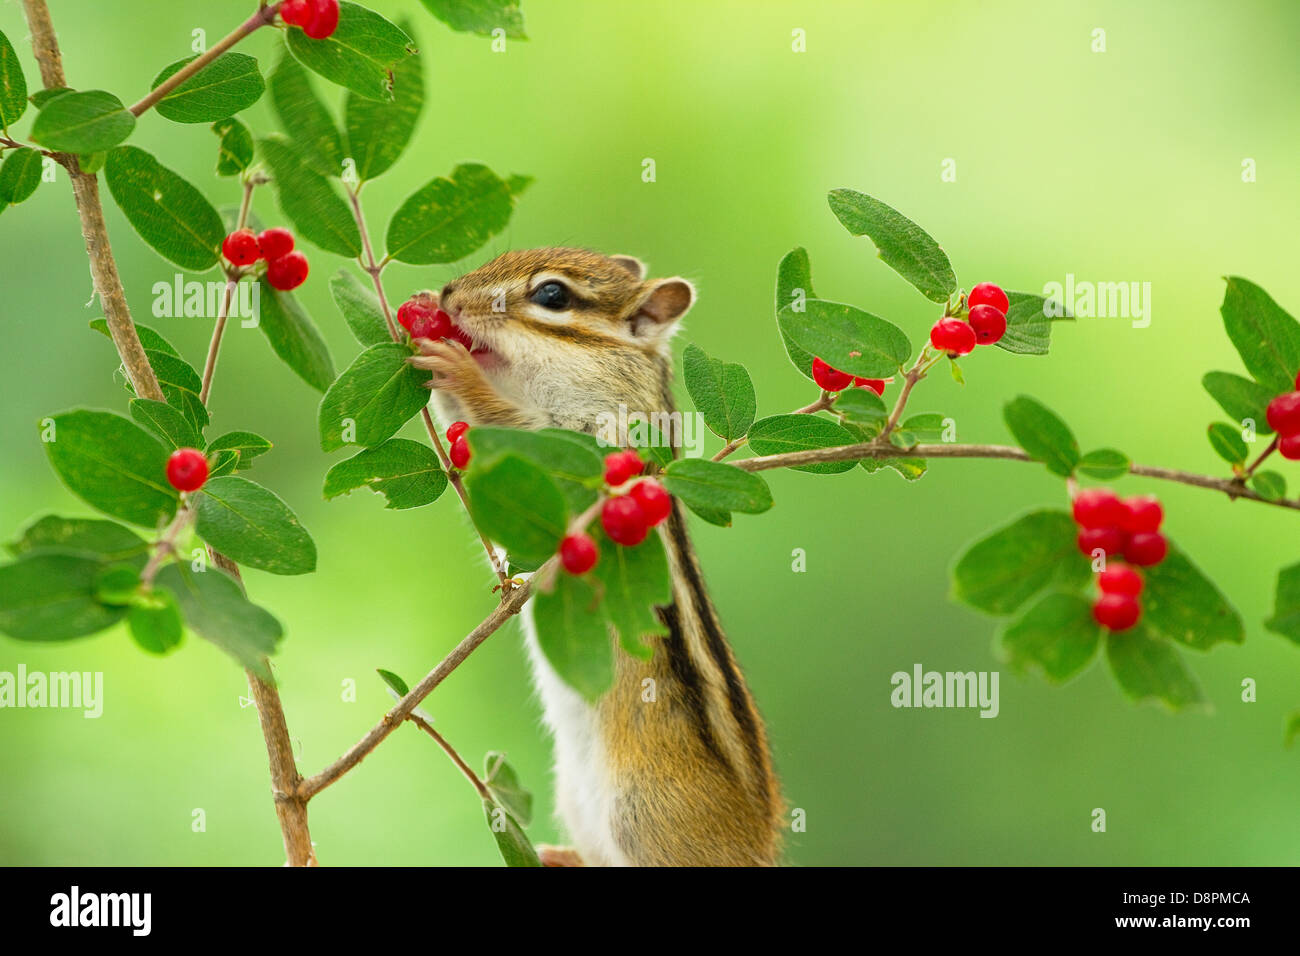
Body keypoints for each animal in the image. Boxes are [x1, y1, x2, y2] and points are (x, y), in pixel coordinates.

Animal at [410, 247, 782, 866]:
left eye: (553, 296)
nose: (448, 297)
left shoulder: (600, 453)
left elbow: (526, 437)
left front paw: (460, 371)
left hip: (640, 813)